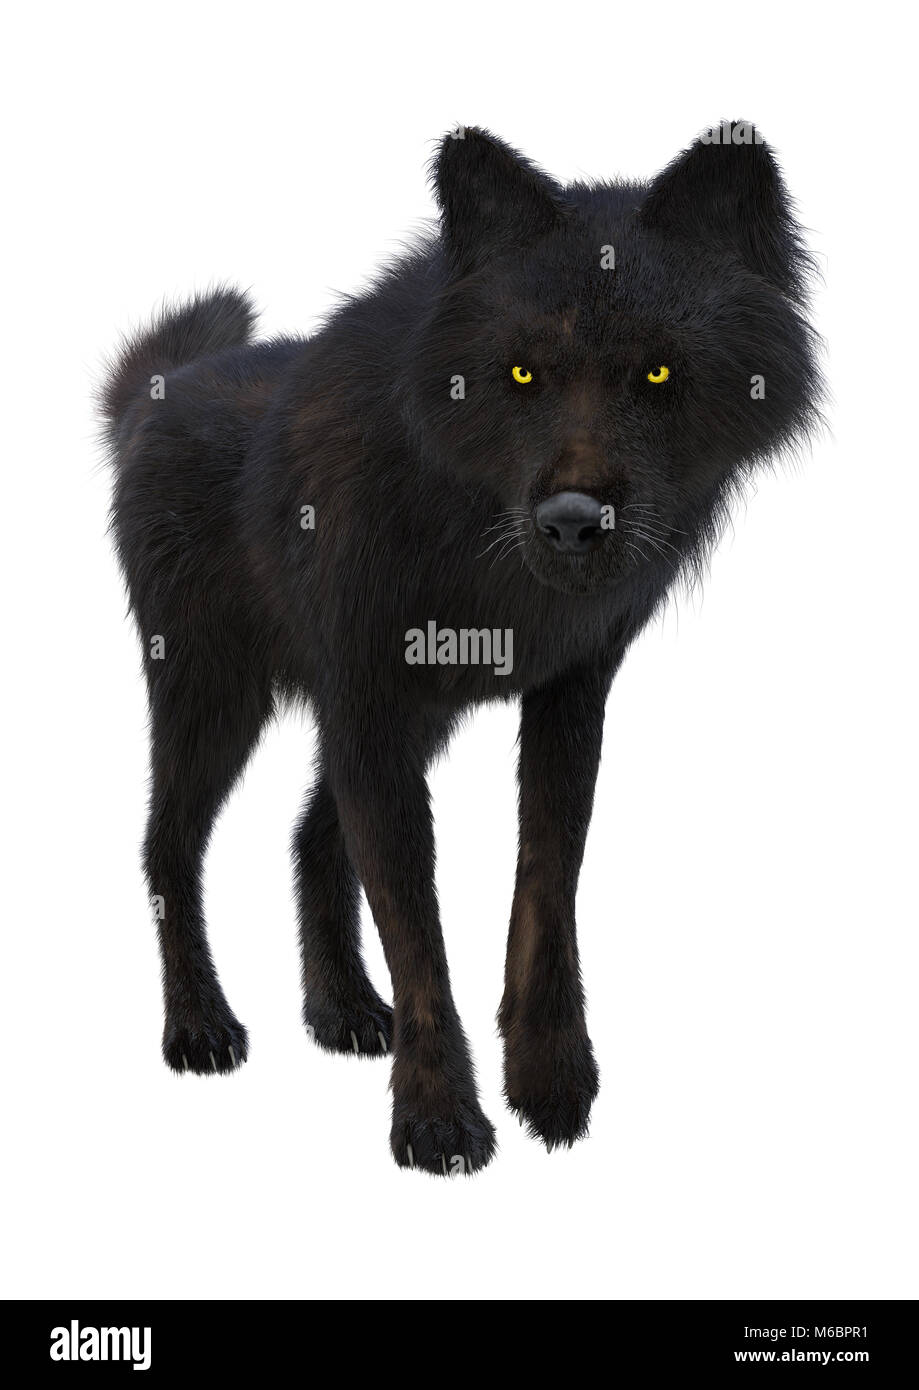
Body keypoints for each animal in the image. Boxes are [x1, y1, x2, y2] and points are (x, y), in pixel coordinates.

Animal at [103, 122, 820, 1175]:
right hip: (216, 700)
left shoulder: (566, 693)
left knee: (308, 834)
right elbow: (418, 927)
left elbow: (545, 883)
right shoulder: (368, 704)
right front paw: (438, 1118)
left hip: (405, 720)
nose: (572, 523)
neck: (474, 540)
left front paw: (551, 1083)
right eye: (520, 373)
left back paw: (344, 1010)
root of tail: (156, 395)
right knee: (166, 845)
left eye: (655, 373)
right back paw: (199, 1026)